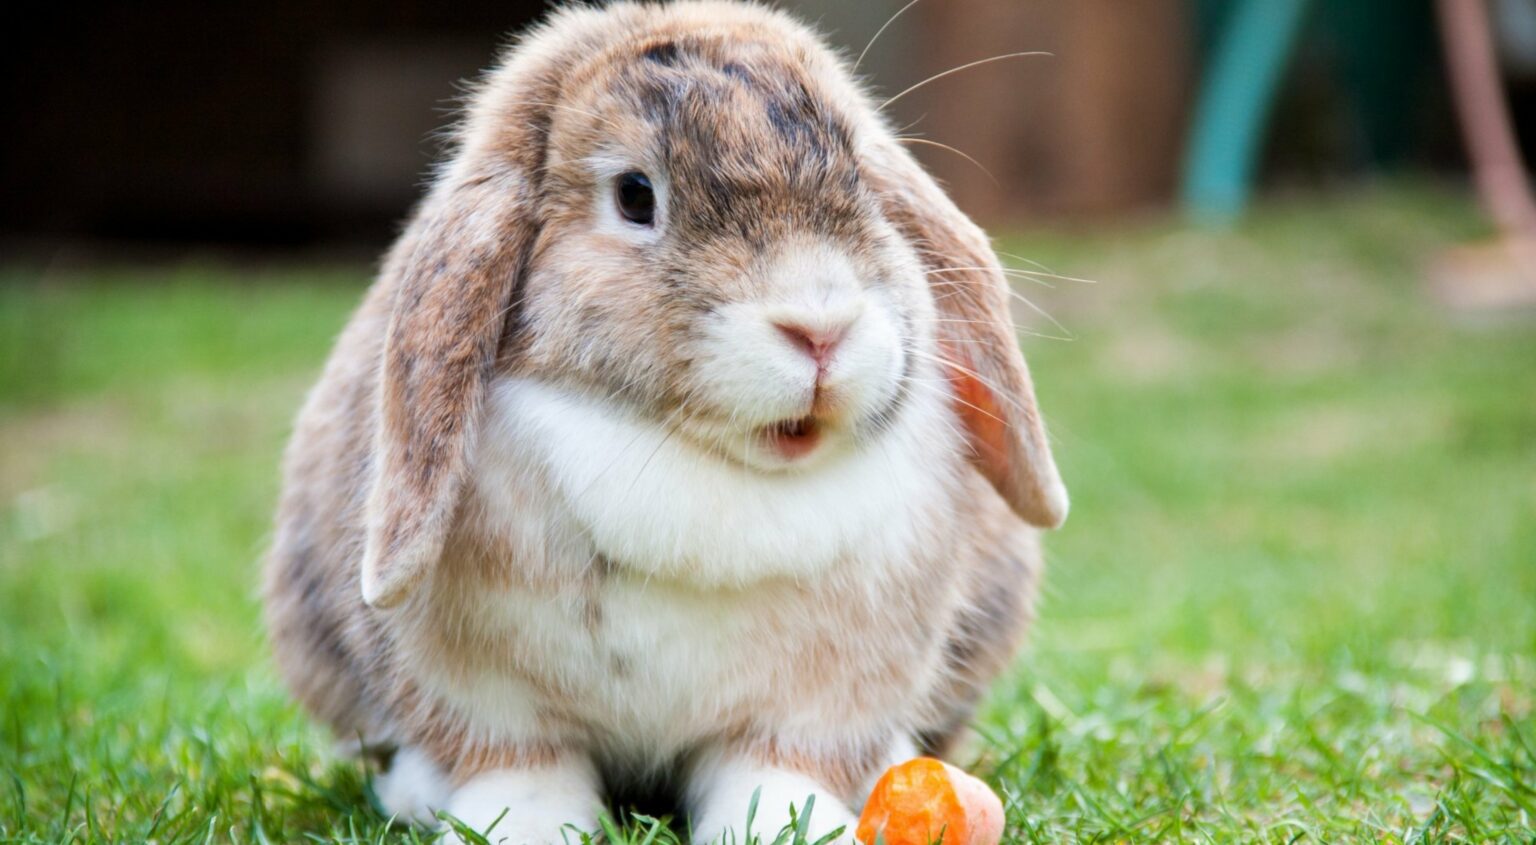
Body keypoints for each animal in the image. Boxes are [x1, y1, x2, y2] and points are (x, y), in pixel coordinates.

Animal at [263, 2, 1068, 843]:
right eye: (634, 195)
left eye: (860, 179)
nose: (820, 327)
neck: (701, 462)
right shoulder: (485, 697)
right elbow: (519, 765)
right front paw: (522, 827)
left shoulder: (818, 702)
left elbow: (774, 767)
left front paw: (785, 825)